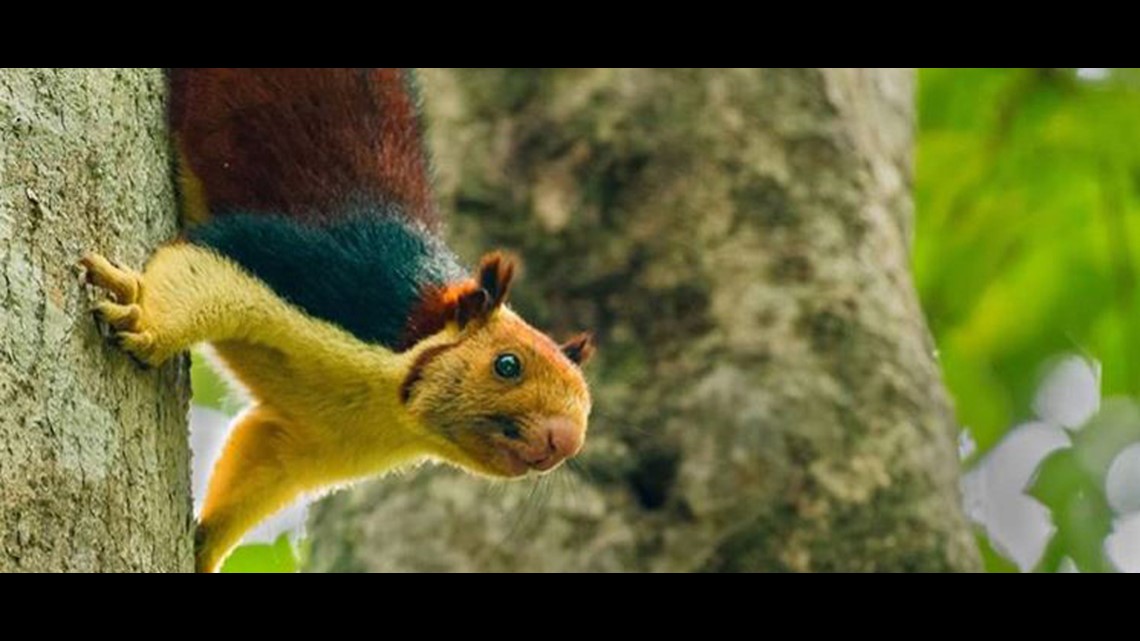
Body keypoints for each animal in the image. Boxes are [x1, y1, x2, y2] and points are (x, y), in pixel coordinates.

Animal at [79, 68, 594, 573]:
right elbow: (215, 259)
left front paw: (204, 550)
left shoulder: (321, 443)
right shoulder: (338, 280)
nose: (564, 441)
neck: (391, 402)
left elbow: (265, 458)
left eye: (587, 408)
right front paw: (144, 322)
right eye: (507, 365)